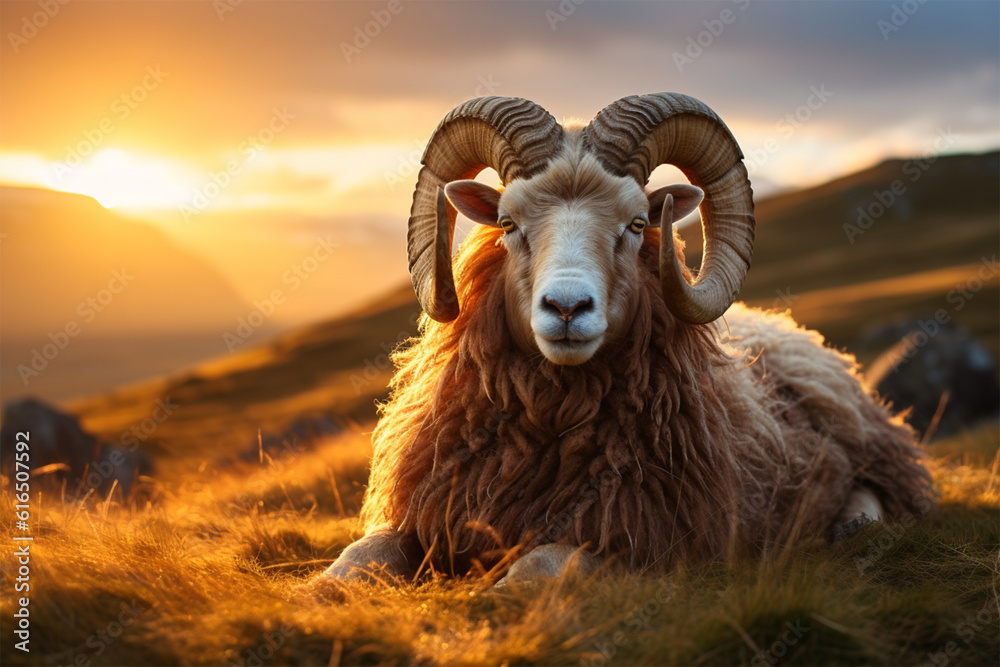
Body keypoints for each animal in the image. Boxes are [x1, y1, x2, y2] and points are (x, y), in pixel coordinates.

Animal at [321, 94, 932, 585]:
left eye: (638, 224)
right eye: (508, 223)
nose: (567, 308)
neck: (553, 426)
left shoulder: (645, 541)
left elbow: (539, 566)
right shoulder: (432, 511)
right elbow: (357, 561)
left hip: (866, 441)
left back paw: (850, 525)